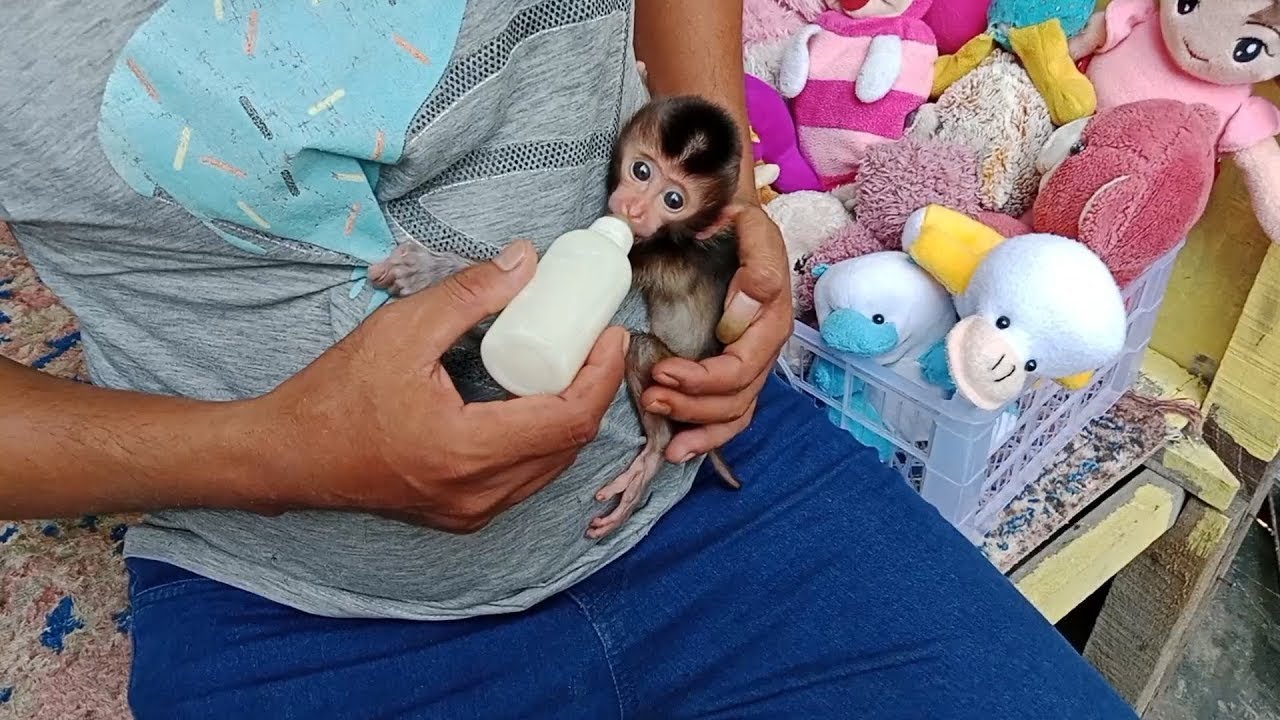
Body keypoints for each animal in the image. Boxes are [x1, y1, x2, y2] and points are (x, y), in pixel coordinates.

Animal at [586, 95, 747, 540]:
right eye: (641, 171)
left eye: (673, 200)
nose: (633, 208)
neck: (674, 238)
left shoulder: (667, 259)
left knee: (641, 348)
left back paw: (653, 459)